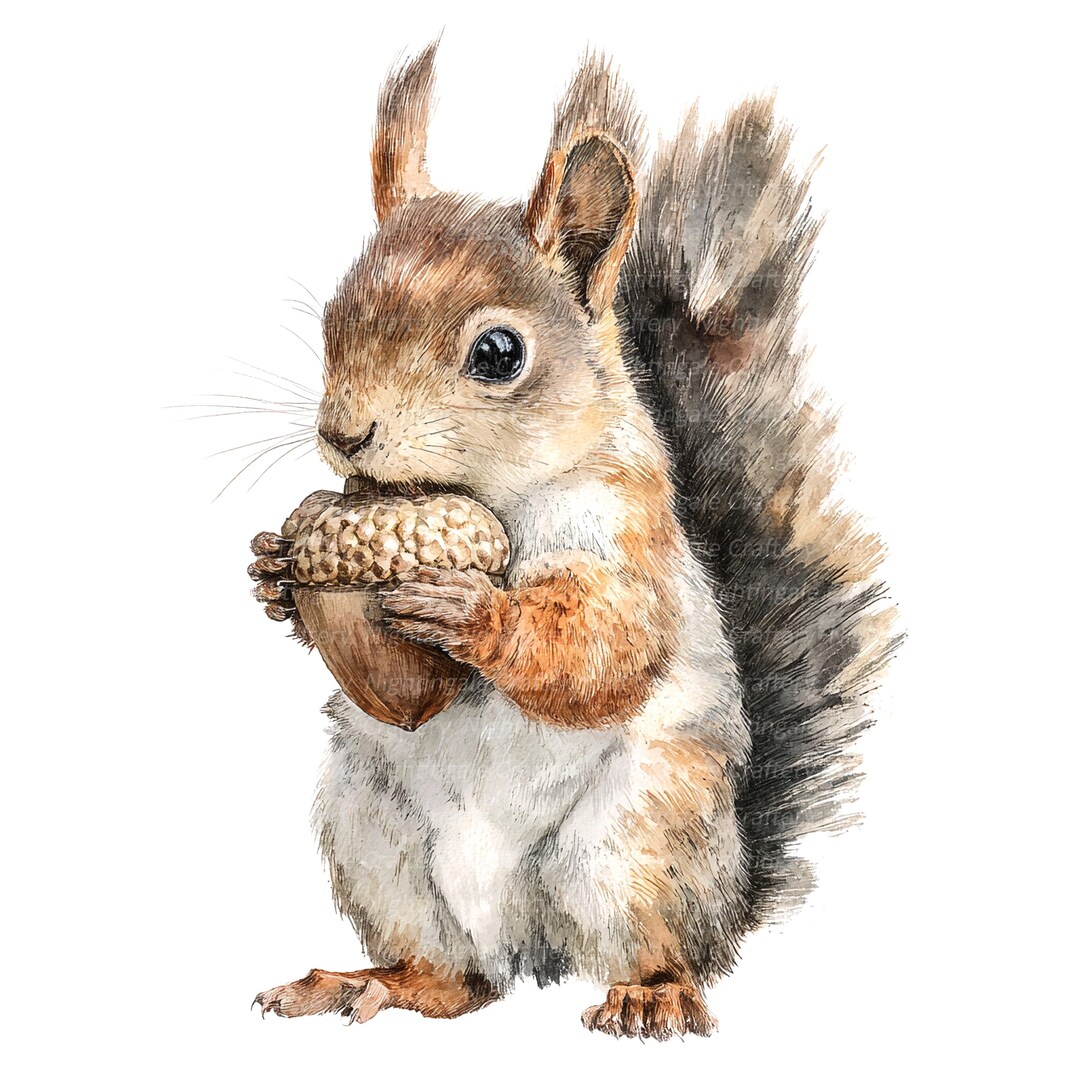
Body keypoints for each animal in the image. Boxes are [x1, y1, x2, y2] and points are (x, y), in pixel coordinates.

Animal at [248, 42, 896, 1040]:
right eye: (332, 317)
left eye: (498, 354)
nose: (344, 434)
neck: (494, 493)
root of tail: (527, 947)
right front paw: (275, 576)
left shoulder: (628, 533)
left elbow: (605, 641)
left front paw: (470, 609)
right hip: (376, 839)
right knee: (456, 981)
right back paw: (372, 983)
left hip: (635, 846)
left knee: (661, 948)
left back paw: (648, 996)